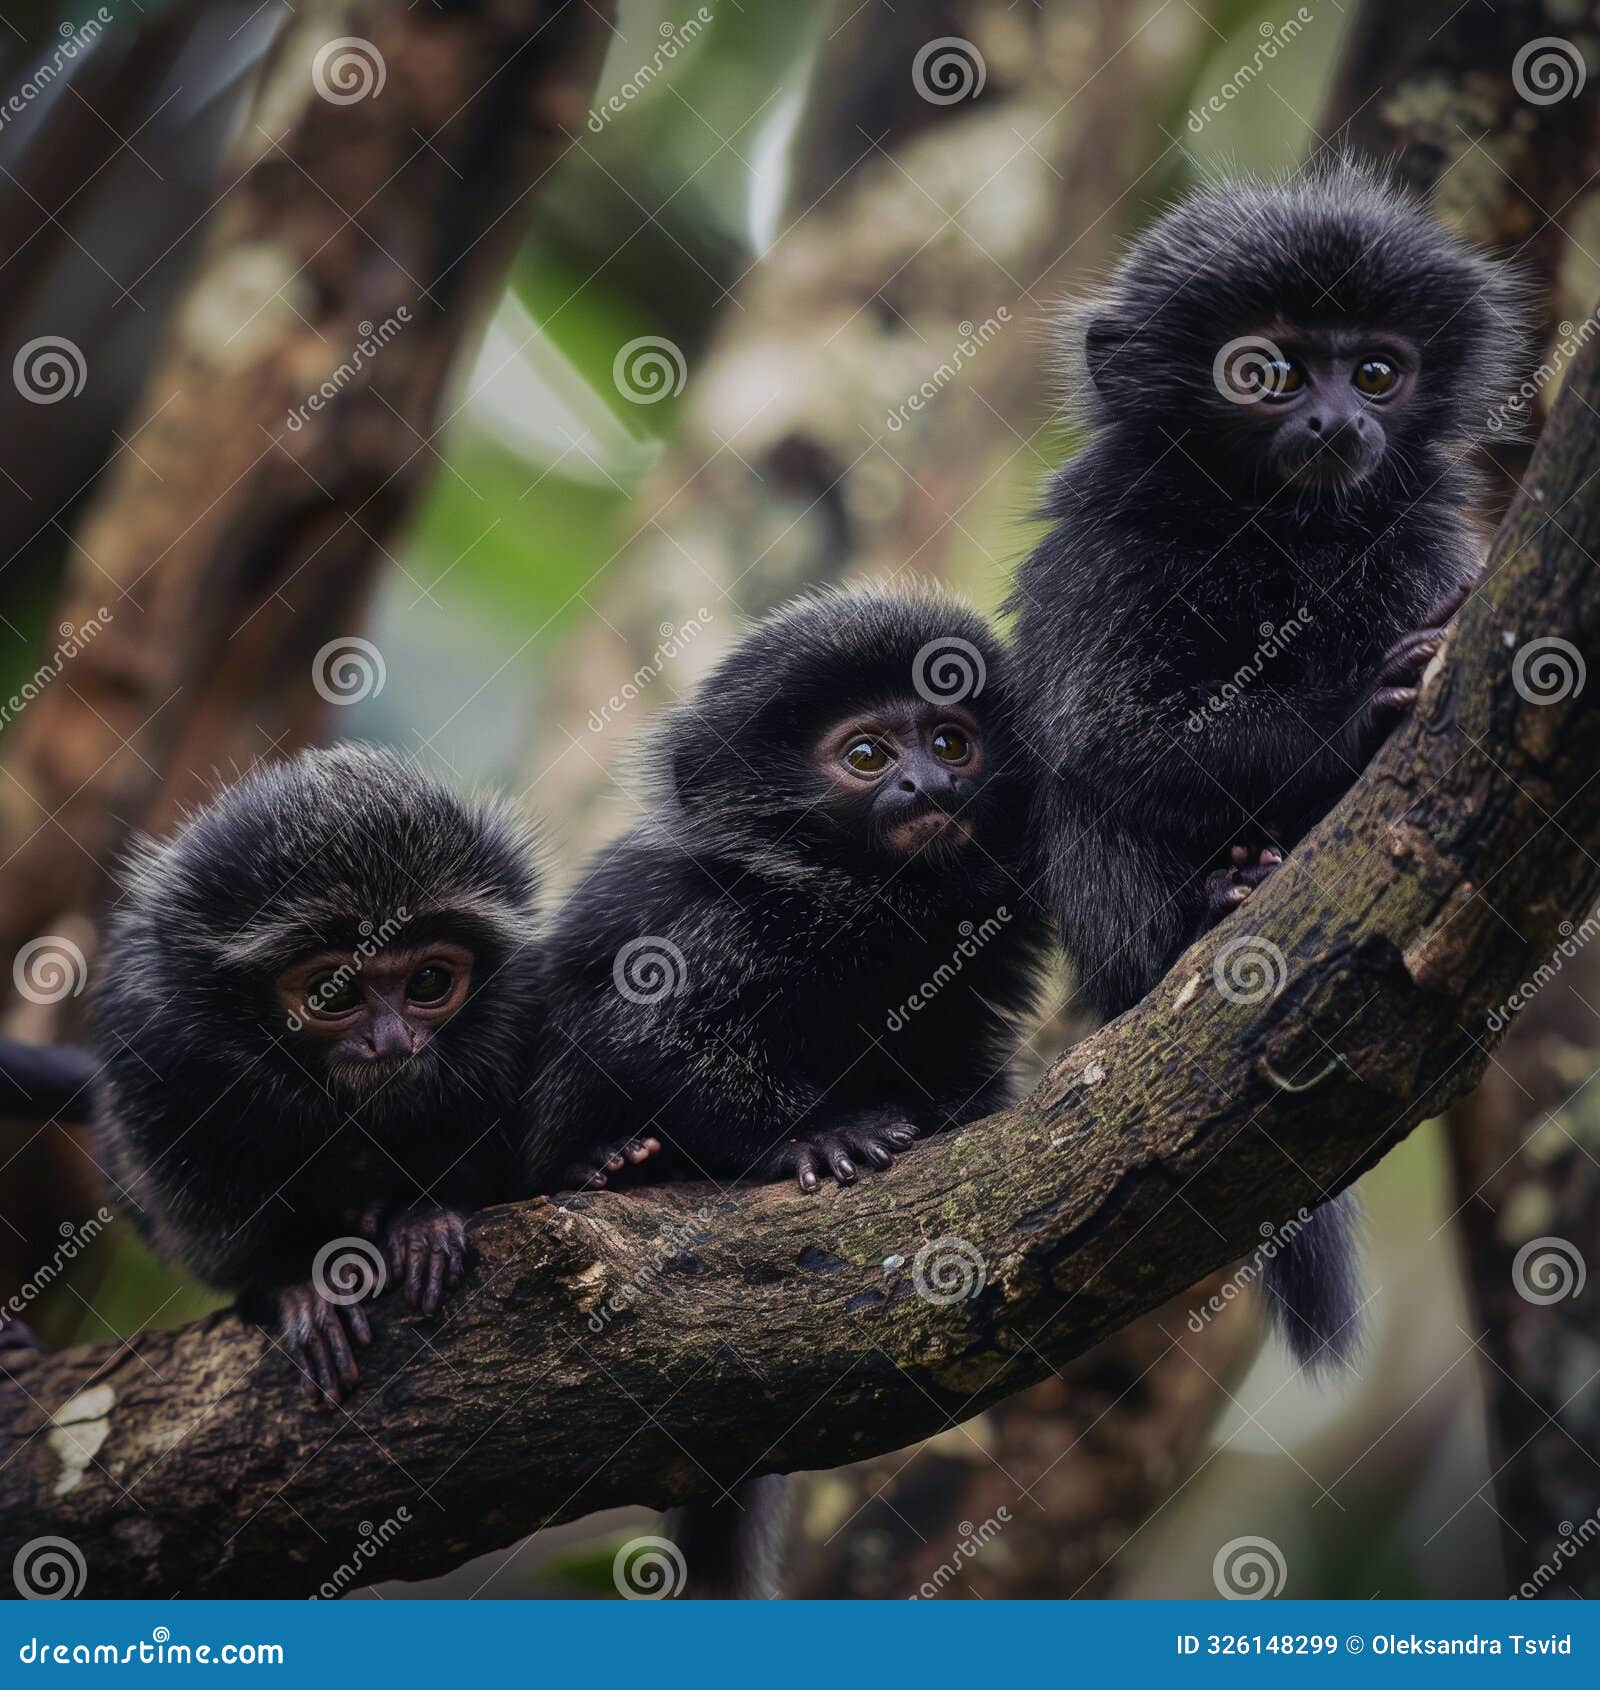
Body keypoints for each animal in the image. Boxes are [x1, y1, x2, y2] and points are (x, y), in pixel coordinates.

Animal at [91, 744, 544, 1406]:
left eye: (428, 982)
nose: (392, 1041)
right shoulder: (157, 1050)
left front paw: (426, 1218)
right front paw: (298, 1277)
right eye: (336, 993)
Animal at [529, 585, 1050, 1594]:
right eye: (867, 756)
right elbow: (649, 1038)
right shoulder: (709, 920)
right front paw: (817, 1136)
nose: (926, 786)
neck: (862, 907)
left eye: (952, 741)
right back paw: (612, 1164)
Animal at [1008, 159, 1526, 1372]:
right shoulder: (1109, 543)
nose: (1337, 419)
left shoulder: (1425, 544)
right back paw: (1220, 901)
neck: (1280, 529)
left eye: (1377, 372)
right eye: (1266, 373)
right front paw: (1360, 713)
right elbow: (1104, 734)